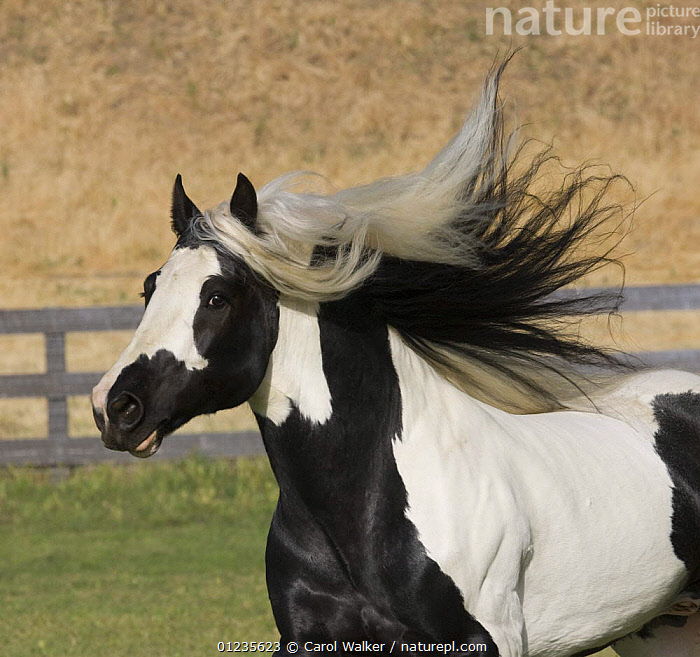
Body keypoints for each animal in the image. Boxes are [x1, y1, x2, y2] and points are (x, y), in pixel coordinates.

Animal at [91, 65, 700, 656]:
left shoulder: (480, 641)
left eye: (217, 296)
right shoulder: (309, 639)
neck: (367, 511)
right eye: (150, 287)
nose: (114, 407)